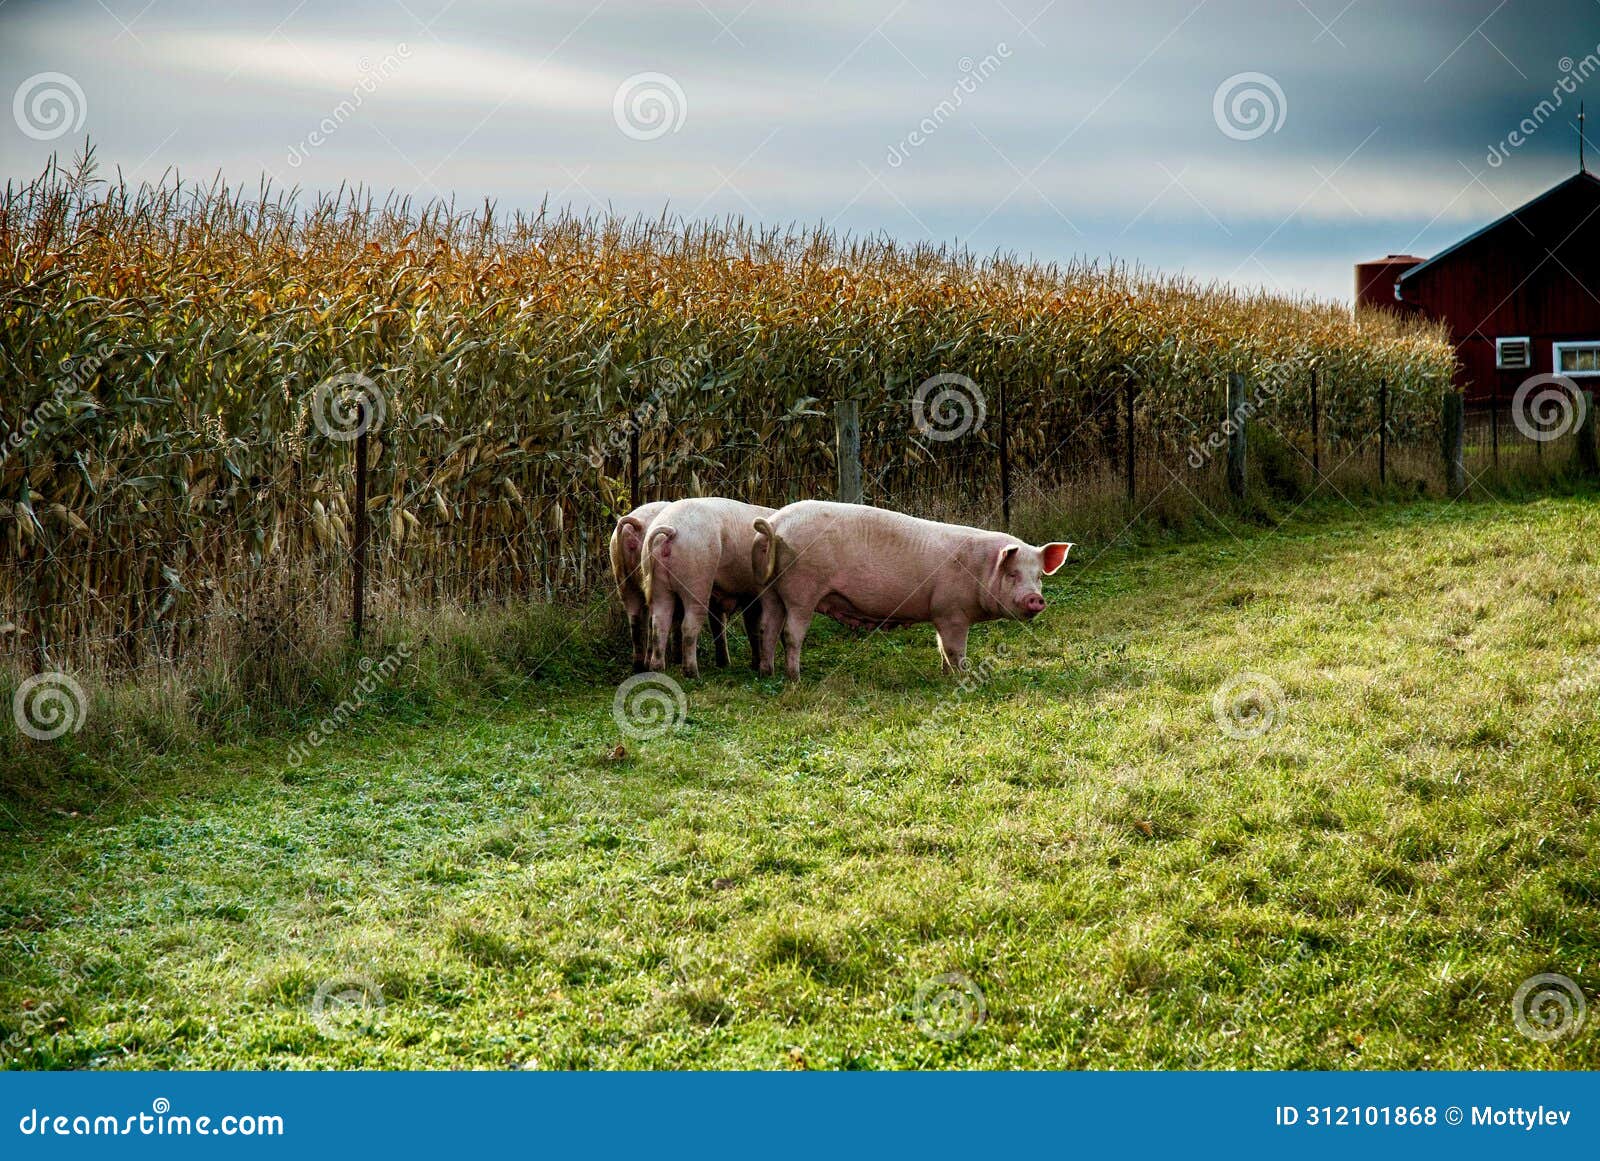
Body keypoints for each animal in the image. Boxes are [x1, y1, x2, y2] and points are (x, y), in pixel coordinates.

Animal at [643, 497, 781, 678]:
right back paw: (693, 674)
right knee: (689, 625)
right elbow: (755, 628)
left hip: (658, 584)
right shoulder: (753, 595)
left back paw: (657, 669)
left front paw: (726, 664)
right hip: (697, 577)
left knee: (659, 624)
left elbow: (720, 626)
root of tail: (671, 529)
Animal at [750, 501, 1071, 679]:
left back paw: (768, 672)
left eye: (1038, 576)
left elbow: (941, 646)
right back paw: (795, 678)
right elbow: (954, 648)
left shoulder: (940, 613)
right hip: (801, 589)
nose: (1036, 598)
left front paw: (944, 675)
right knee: (791, 633)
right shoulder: (952, 612)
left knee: (767, 627)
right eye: (1013, 574)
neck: (979, 568)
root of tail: (776, 524)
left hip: (770, 589)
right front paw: (963, 676)